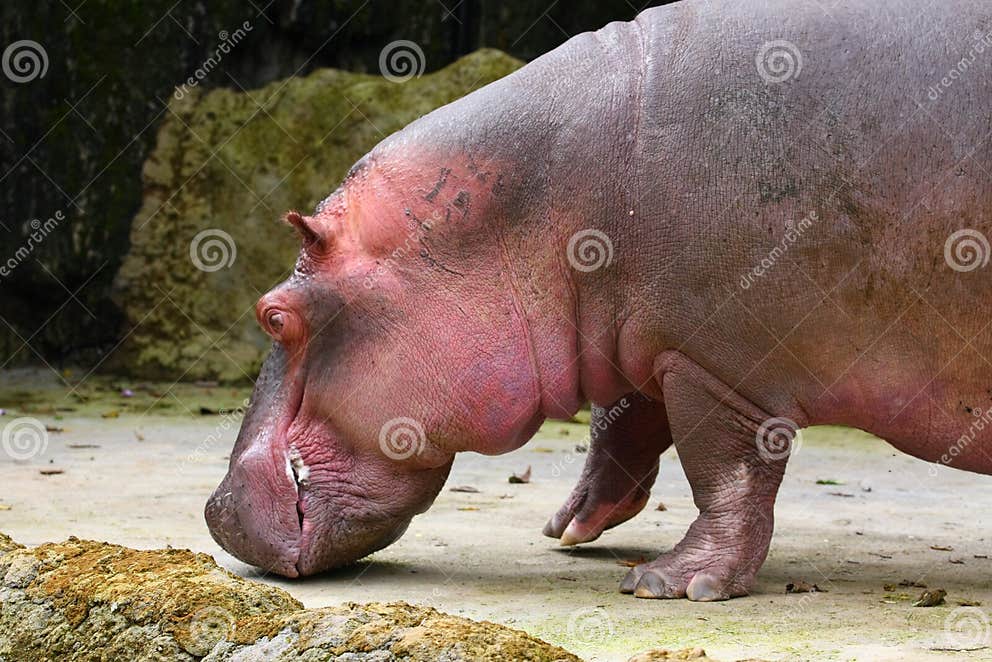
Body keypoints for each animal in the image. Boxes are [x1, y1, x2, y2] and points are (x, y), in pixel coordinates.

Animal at [206, 0, 992, 601]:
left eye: (274, 314)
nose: (214, 512)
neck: (556, 197)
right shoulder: (639, 339)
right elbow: (623, 424)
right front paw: (572, 526)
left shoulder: (717, 368)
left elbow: (726, 474)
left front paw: (670, 584)